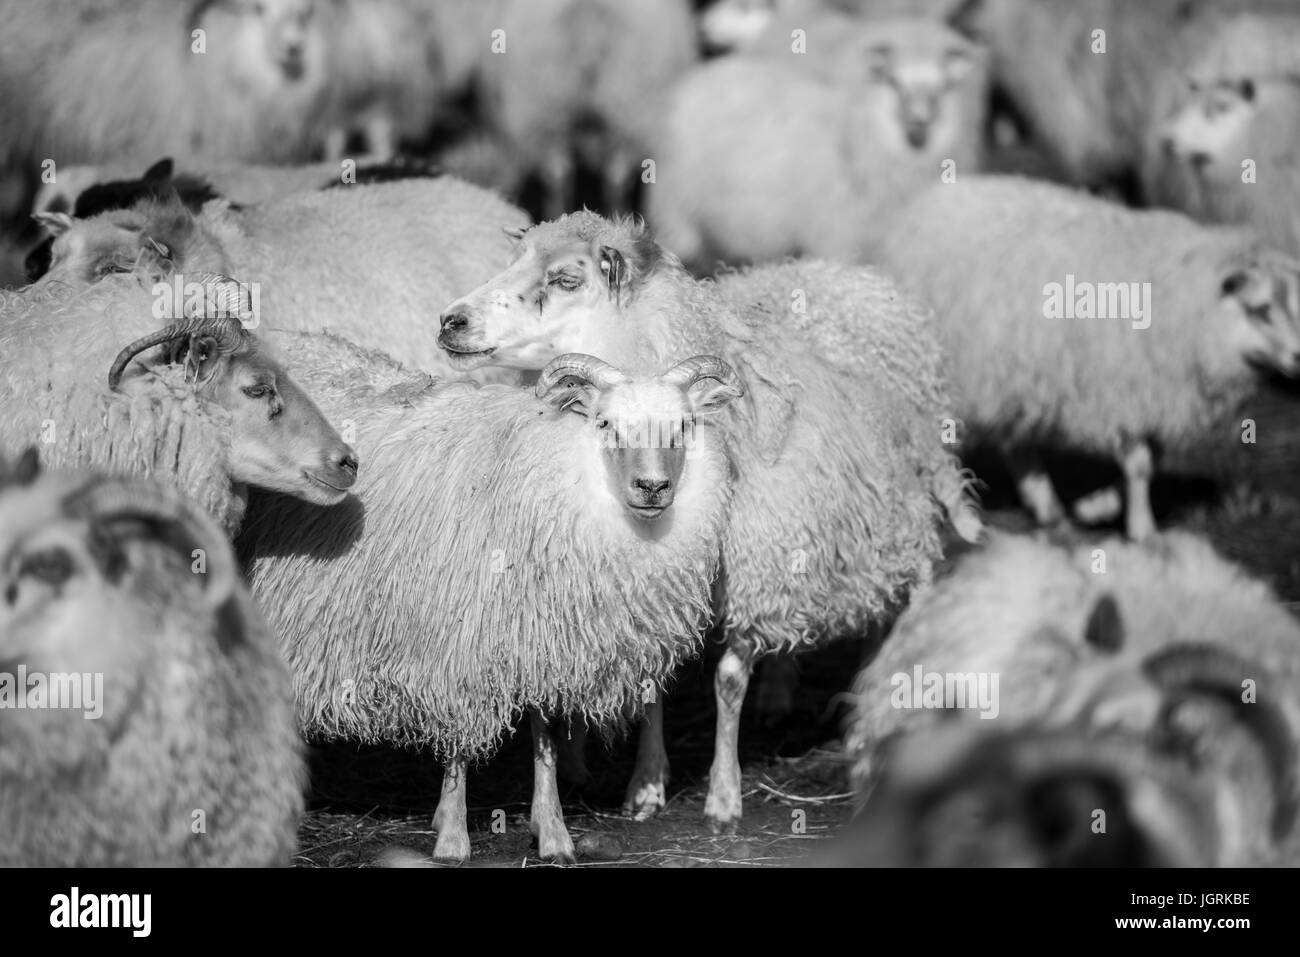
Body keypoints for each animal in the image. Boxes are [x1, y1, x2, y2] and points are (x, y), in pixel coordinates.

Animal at [236, 341, 743, 861]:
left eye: (685, 425)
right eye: (604, 423)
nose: (652, 487)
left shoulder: (544, 639)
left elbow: (546, 736)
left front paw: (552, 831)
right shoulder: (458, 639)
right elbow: (460, 743)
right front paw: (453, 839)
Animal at [437, 212, 981, 829]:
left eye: (566, 279)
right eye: (516, 260)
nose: (450, 320)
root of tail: (850, 274)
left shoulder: (756, 563)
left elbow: (727, 680)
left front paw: (723, 796)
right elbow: (654, 681)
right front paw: (646, 784)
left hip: (903, 516)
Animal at [647, 17, 988, 268]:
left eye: (944, 87)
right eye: (893, 81)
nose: (920, 123)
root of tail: (705, 73)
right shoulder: (835, 239)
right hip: (678, 207)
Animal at [869, 175, 1300, 540]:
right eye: (1261, 309)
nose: (1298, 357)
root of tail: (917, 208)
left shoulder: (1156, 400)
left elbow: (1147, 464)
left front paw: (1098, 507)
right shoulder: (1122, 390)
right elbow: (1139, 465)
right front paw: (1142, 530)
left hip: (1012, 375)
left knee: (1017, 445)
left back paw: (1048, 507)